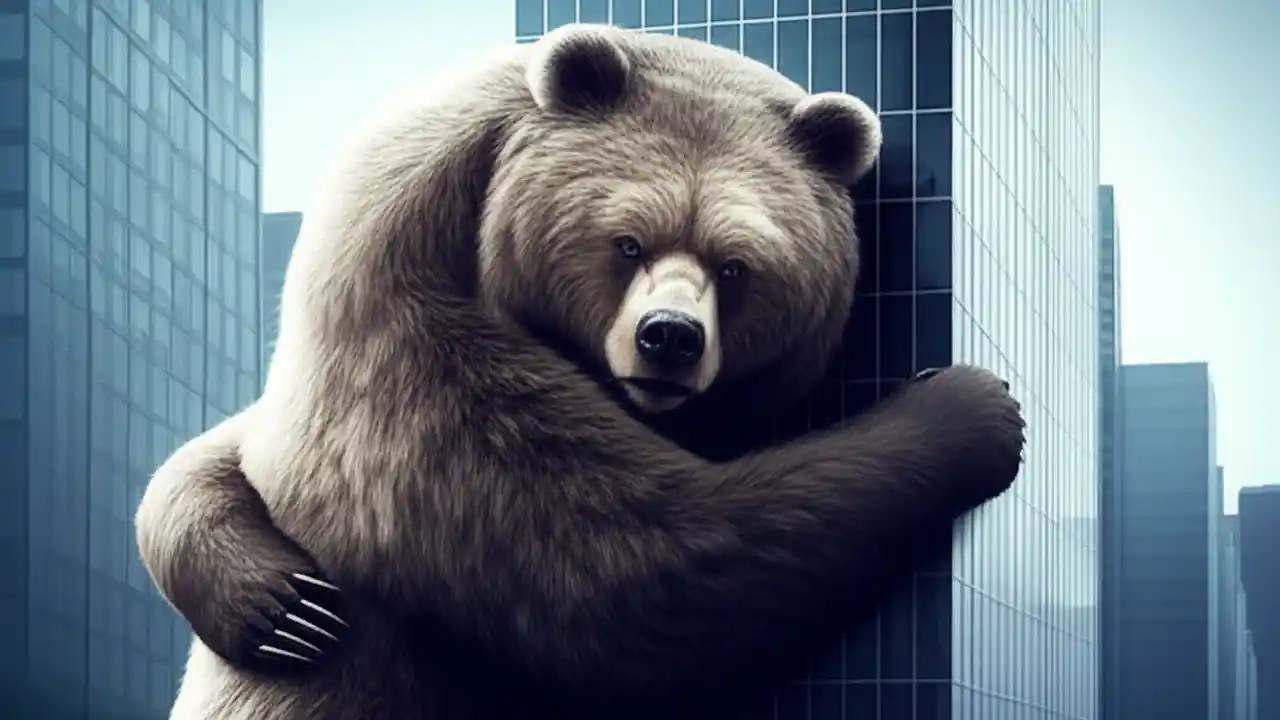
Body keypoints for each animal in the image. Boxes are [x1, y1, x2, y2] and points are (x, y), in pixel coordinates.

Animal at [135, 23, 1025, 720]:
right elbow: (626, 564)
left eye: (736, 265)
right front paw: (973, 411)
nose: (669, 339)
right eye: (625, 241)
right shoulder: (410, 355)